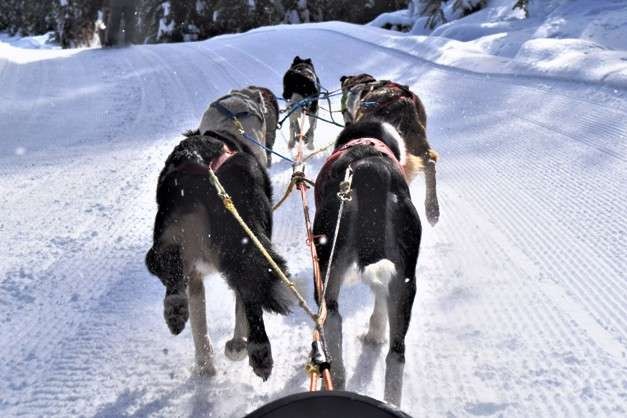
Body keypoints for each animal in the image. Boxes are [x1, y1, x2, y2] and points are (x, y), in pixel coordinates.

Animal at [145, 128, 291, 380]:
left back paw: (175, 308)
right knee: (250, 293)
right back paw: (257, 350)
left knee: (169, 263)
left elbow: (201, 327)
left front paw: (206, 365)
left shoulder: (195, 276)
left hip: (171, 240)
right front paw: (231, 350)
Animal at [313, 120, 421, 406]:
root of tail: (371, 169)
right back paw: (391, 401)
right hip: (406, 281)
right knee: (396, 354)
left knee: (331, 320)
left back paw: (334, 377)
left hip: (326, 267)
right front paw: (375, 333)